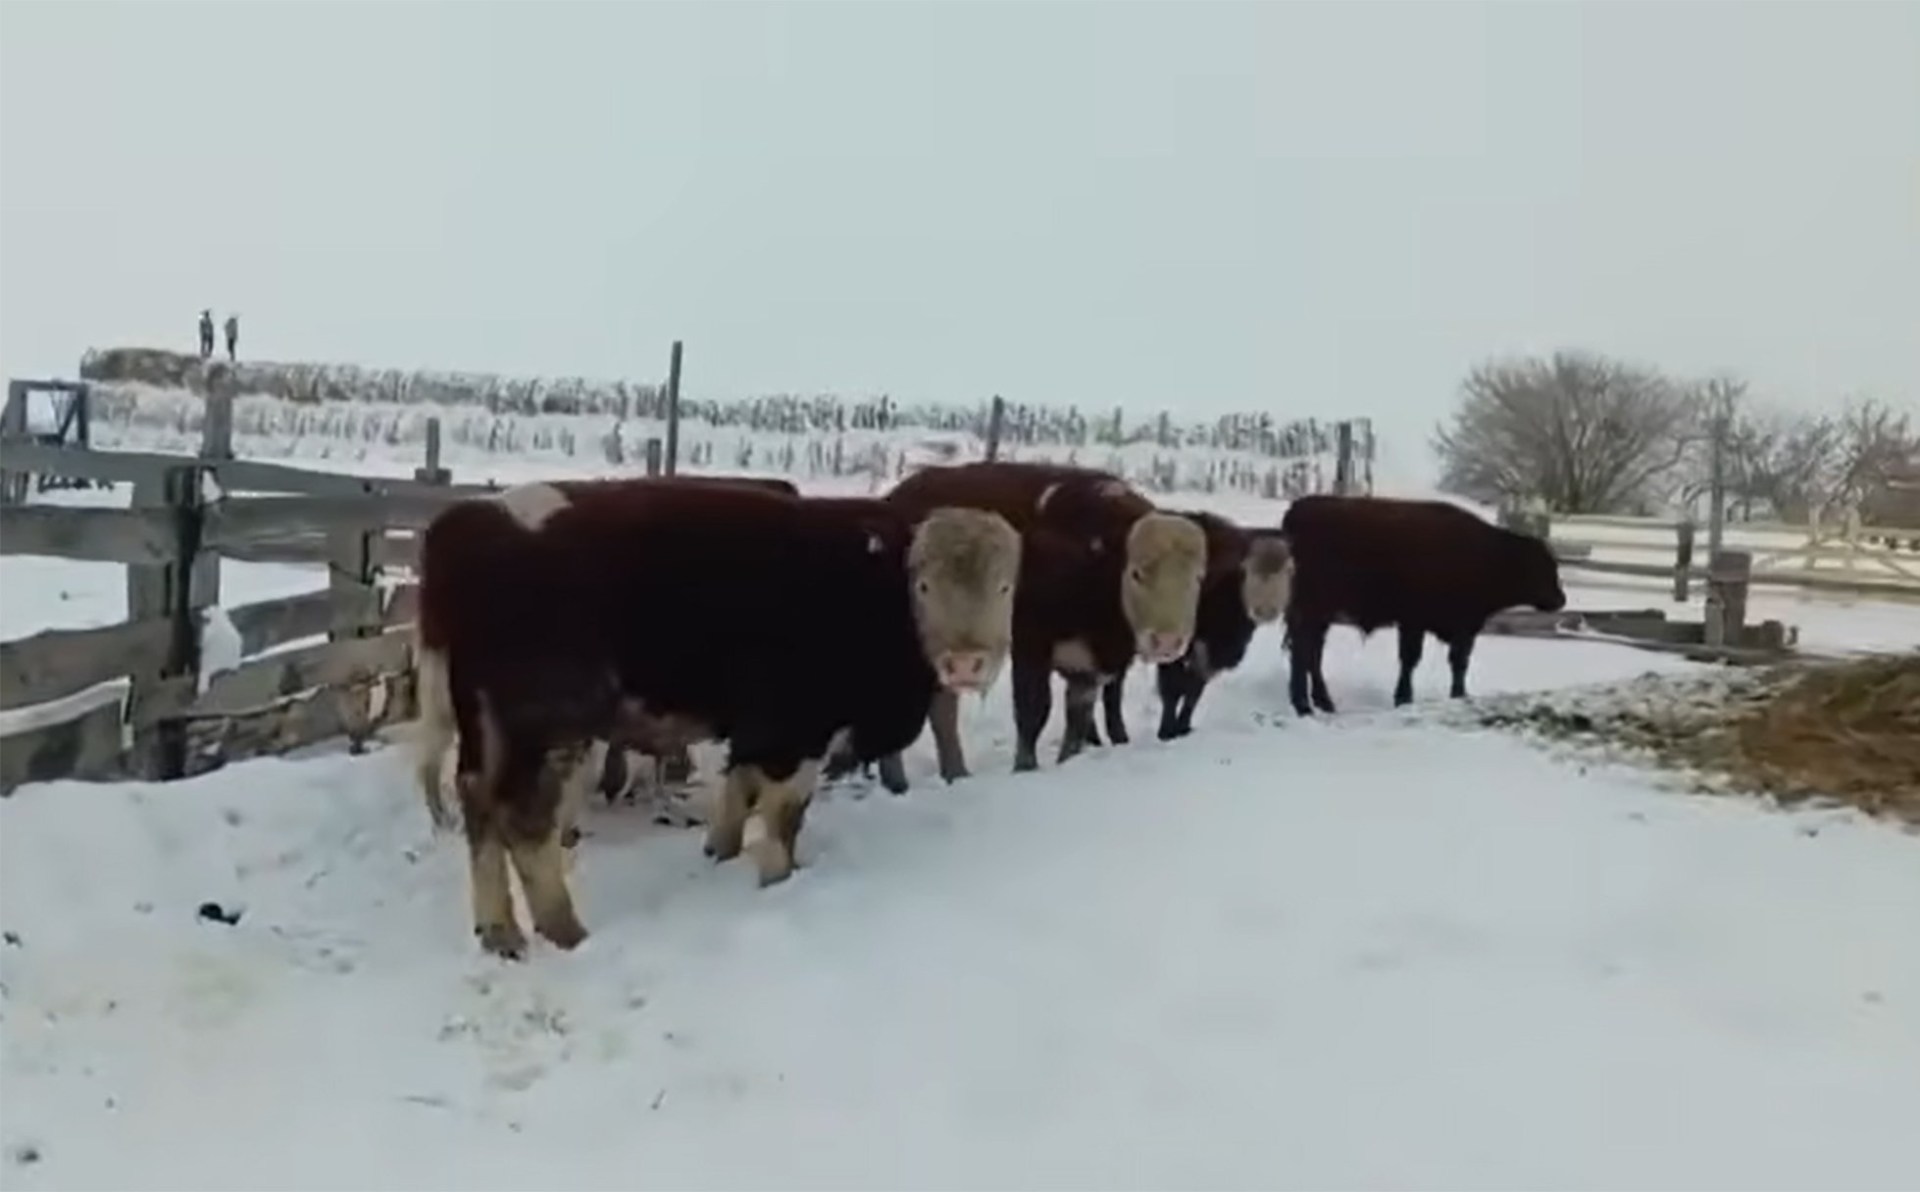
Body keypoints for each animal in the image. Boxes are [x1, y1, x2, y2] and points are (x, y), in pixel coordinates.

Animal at [414, 478, 1020, 958]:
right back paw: (566, 931)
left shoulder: (758, 729)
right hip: (549, 725)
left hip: (487, 726)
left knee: (478, 802)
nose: (966, 662)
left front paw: (720, 854)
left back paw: (499, 930)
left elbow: (738, 794)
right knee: (525, 819)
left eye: (1004, 585)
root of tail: (472, 522)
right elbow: (782, 817)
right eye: (924, 584)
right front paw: (778, 880)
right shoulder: (796, 732)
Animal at [881, 461, 1208, 774]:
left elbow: (1076, 721)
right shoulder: (1031, 645)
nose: (1167, 641)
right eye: (1137, 573)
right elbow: (1033, 711)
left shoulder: (1087, 668)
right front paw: (1025, 768)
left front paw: (1068, 761)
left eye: (1196, 579)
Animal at [1090, 512, 1292, 744]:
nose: (1266, 610)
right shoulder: (1180, 645)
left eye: (1290, 570)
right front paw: (1167, 732)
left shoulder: (1209, 650)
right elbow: (1173, 689)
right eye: (1245, 569)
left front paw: (1183, 727)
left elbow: (1195, 688)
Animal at [1279, 495, 1566, 717]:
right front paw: (1406, 698)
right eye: (1542, 566)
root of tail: (1298, 510)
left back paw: (1322, 703)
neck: (1491, 554)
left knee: (1311, 653)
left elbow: (1458, 661)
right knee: (1304, 652)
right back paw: (1304, 706)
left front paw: (1458, 694)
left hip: (1320, 615)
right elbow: (1413, 659)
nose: (1561, 599)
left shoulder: (1463, 626)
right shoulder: (1416, 622)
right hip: (1313, 610)